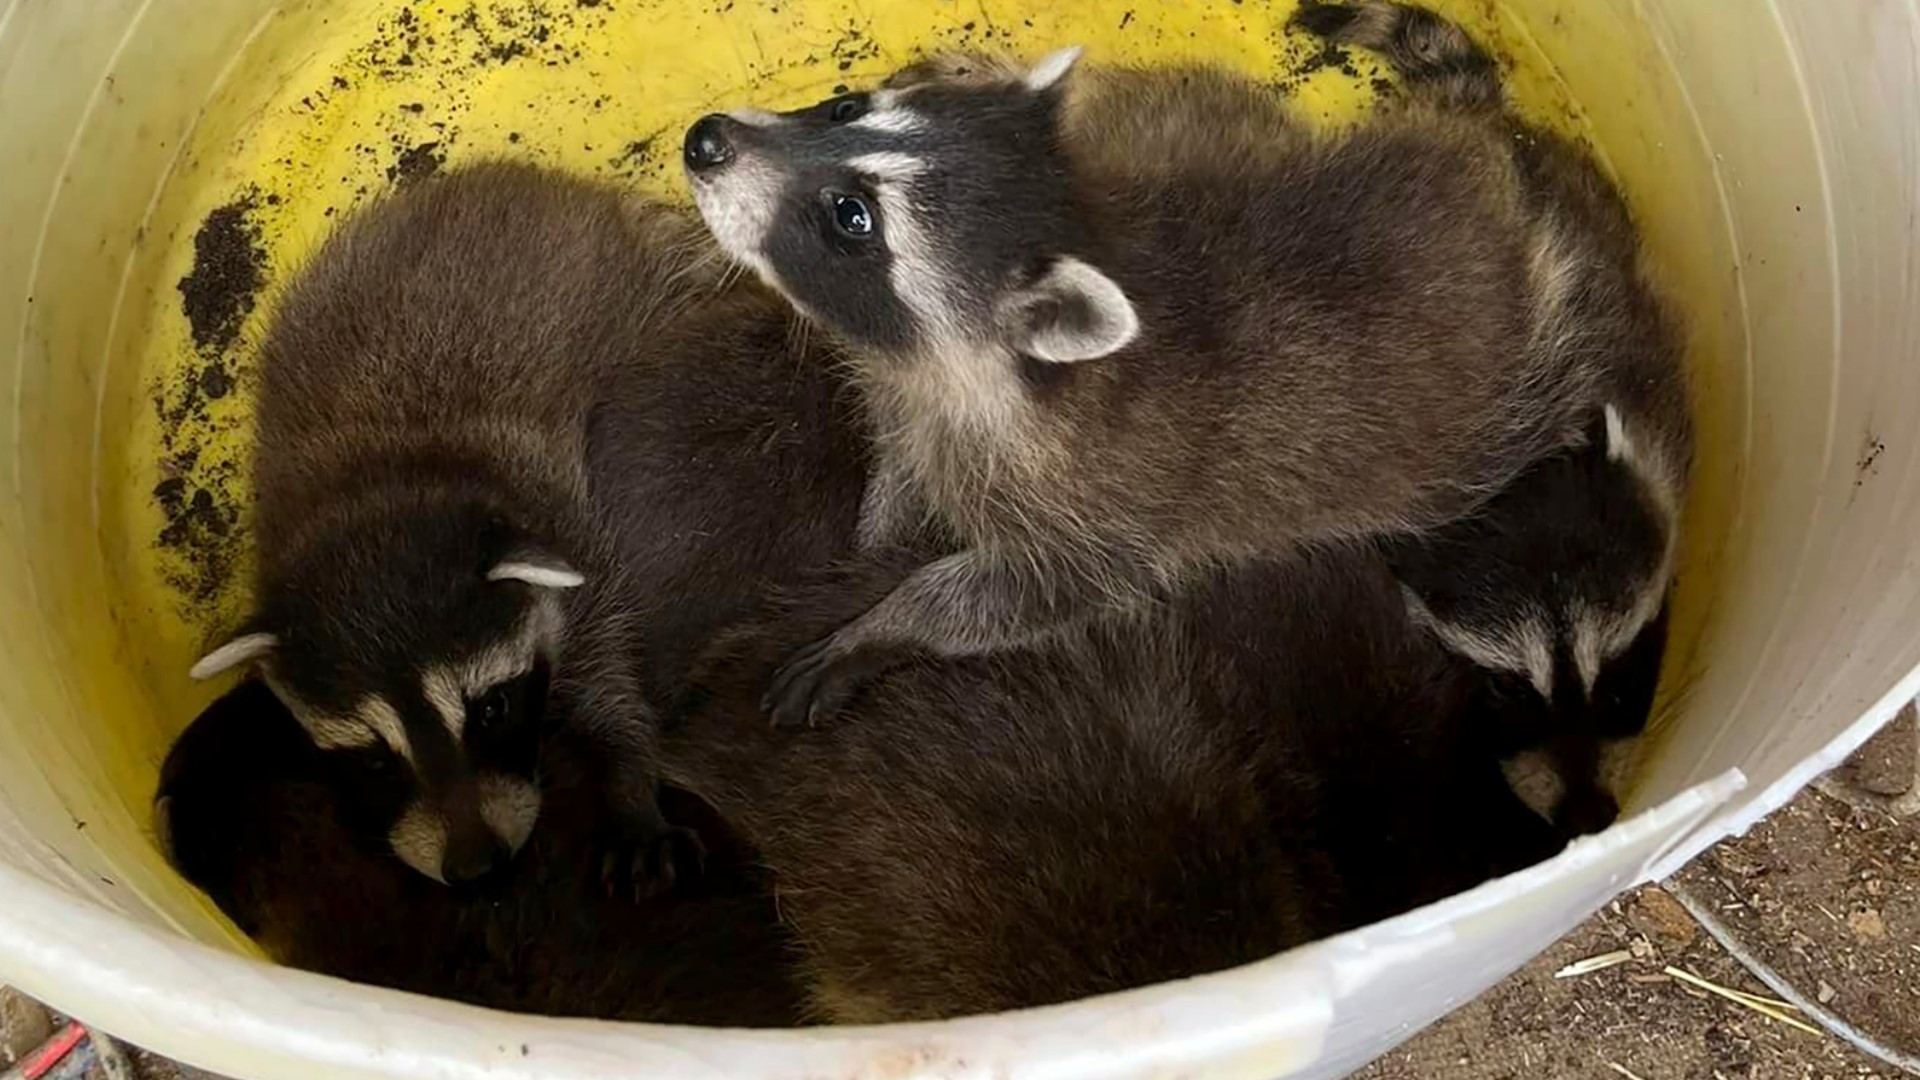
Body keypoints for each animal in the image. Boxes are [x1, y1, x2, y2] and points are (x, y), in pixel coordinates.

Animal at [186, 164, 719, 889]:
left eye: (490, 710)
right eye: (375, 758)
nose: (476, 868)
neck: (378, 490)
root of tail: (524, 178)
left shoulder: (575, 530)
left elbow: (607, 674)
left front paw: (626, 779)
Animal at [681, 17, 1623, 729]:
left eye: (853, 217)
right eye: (845, 103)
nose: (704, 139)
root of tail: (1476, 159)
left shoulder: (1101, 513)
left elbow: (1018, 594)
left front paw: (888, 621)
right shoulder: (918, 406)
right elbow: (903, 474)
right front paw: (872, 542)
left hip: (1495, 414)